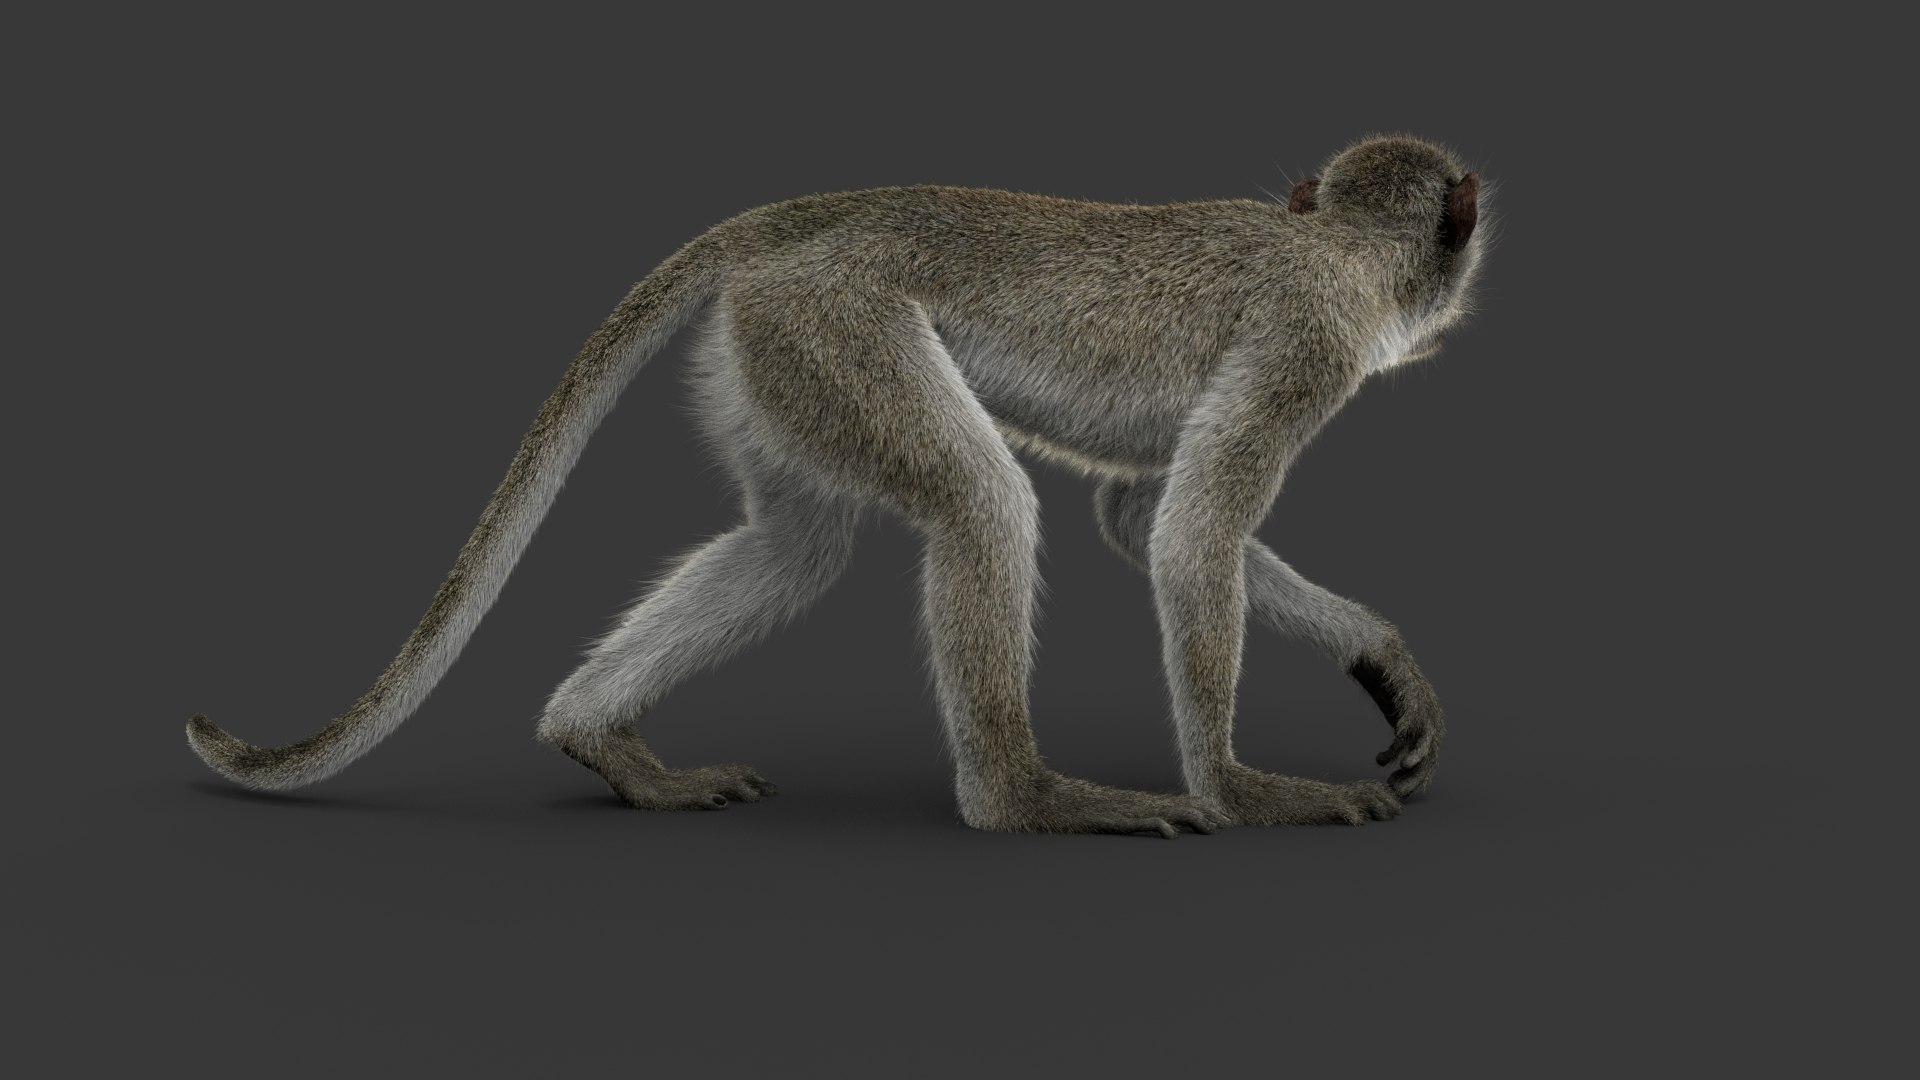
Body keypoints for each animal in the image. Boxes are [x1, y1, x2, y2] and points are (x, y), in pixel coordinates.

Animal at [185, 133, 1487, 838]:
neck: (1333, 249)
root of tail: (802, 226)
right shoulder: (1311, 339)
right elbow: (1187, 535)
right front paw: (1240, 792)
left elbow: (1137, 518)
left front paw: (1379, 656)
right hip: (830, 320)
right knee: (978, 503)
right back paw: (1022, 800)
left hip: (764, 347)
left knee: (796, 544)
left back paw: (600, 743)